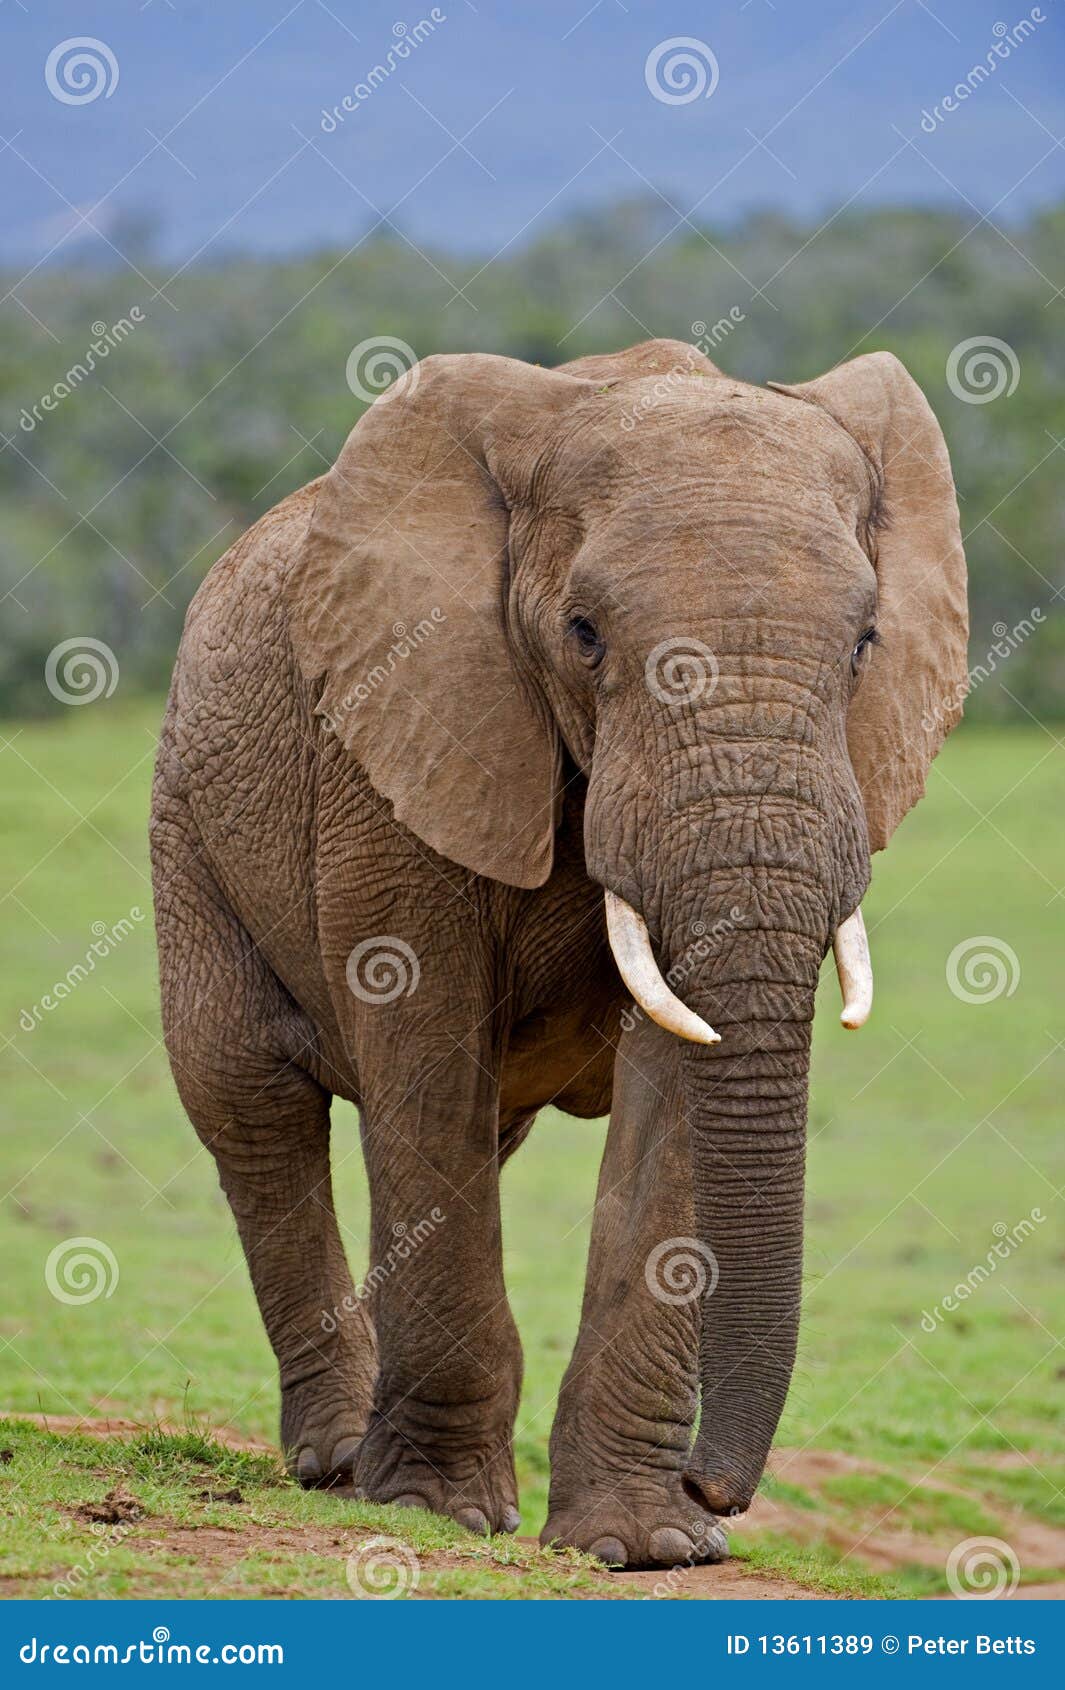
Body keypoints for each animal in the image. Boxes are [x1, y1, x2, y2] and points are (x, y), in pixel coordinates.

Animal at [150, 337, 968, 1569]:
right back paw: (337, 1465)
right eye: (585, 635)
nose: (721, 1489)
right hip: (187, 819)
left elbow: (674, 1084)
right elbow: (420, 1031)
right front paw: (431, 1511)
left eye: (867, 645)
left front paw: (648, 1545)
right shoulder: (401, 728)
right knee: (250, 1101)